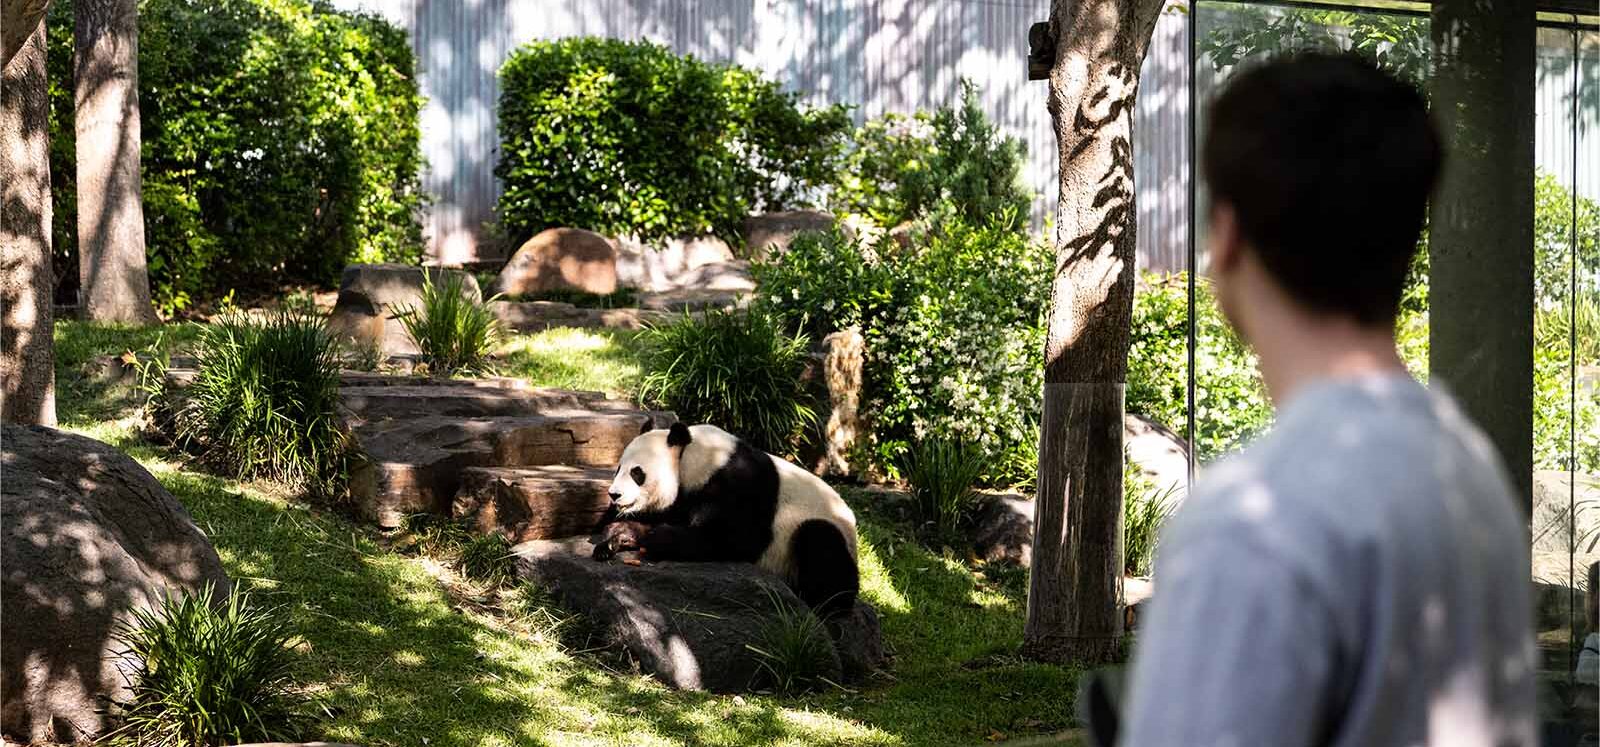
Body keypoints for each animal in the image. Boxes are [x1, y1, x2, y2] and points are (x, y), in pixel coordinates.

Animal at [593, 421, 860, 619]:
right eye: (618, 469)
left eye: (637, 473)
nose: (614, 495)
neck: (694, 457)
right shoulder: (686, 496)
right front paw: (615, 538)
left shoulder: (739, 484)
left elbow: (734, 538)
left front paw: (658, 539)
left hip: (820, 528)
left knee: (822, 546)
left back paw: (825, 604)